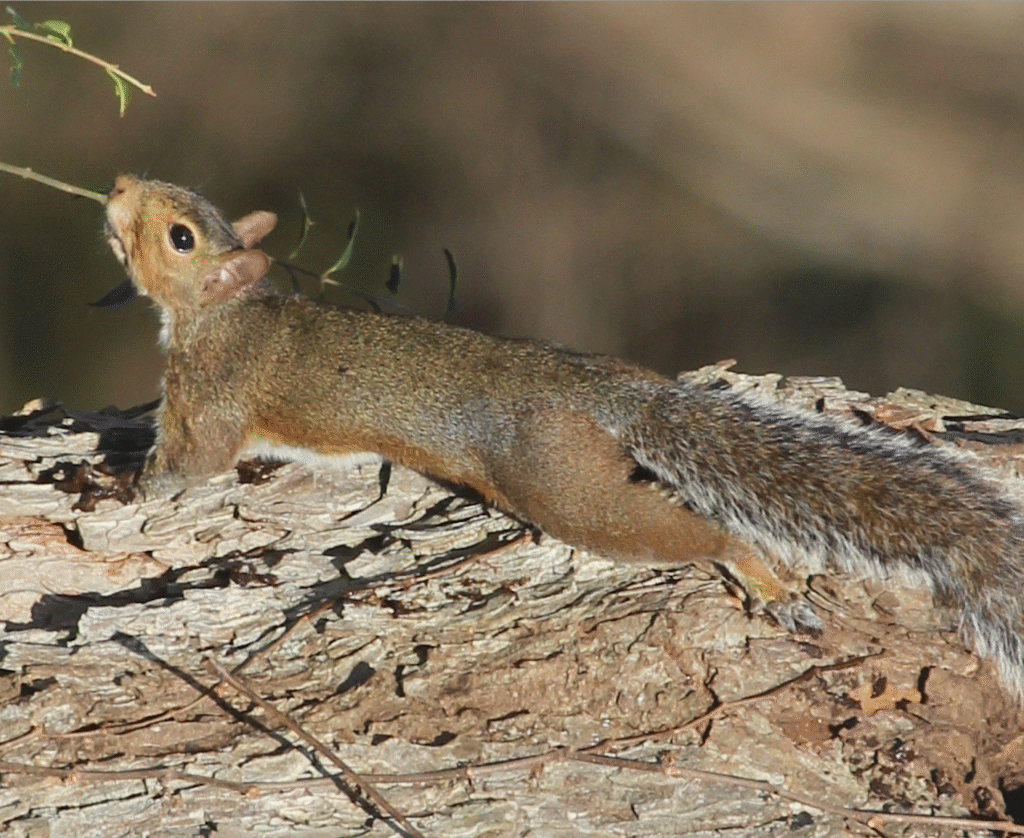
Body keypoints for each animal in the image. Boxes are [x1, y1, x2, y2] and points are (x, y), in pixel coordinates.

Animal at [103, 174, 1024, 698]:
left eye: (180, 236)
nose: (115, 185)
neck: (223, 310)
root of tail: (602, 392)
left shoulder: (215, 395)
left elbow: (193, 462)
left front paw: (128, 488)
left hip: (562, 487)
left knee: (702, 532)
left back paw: (760, 573)